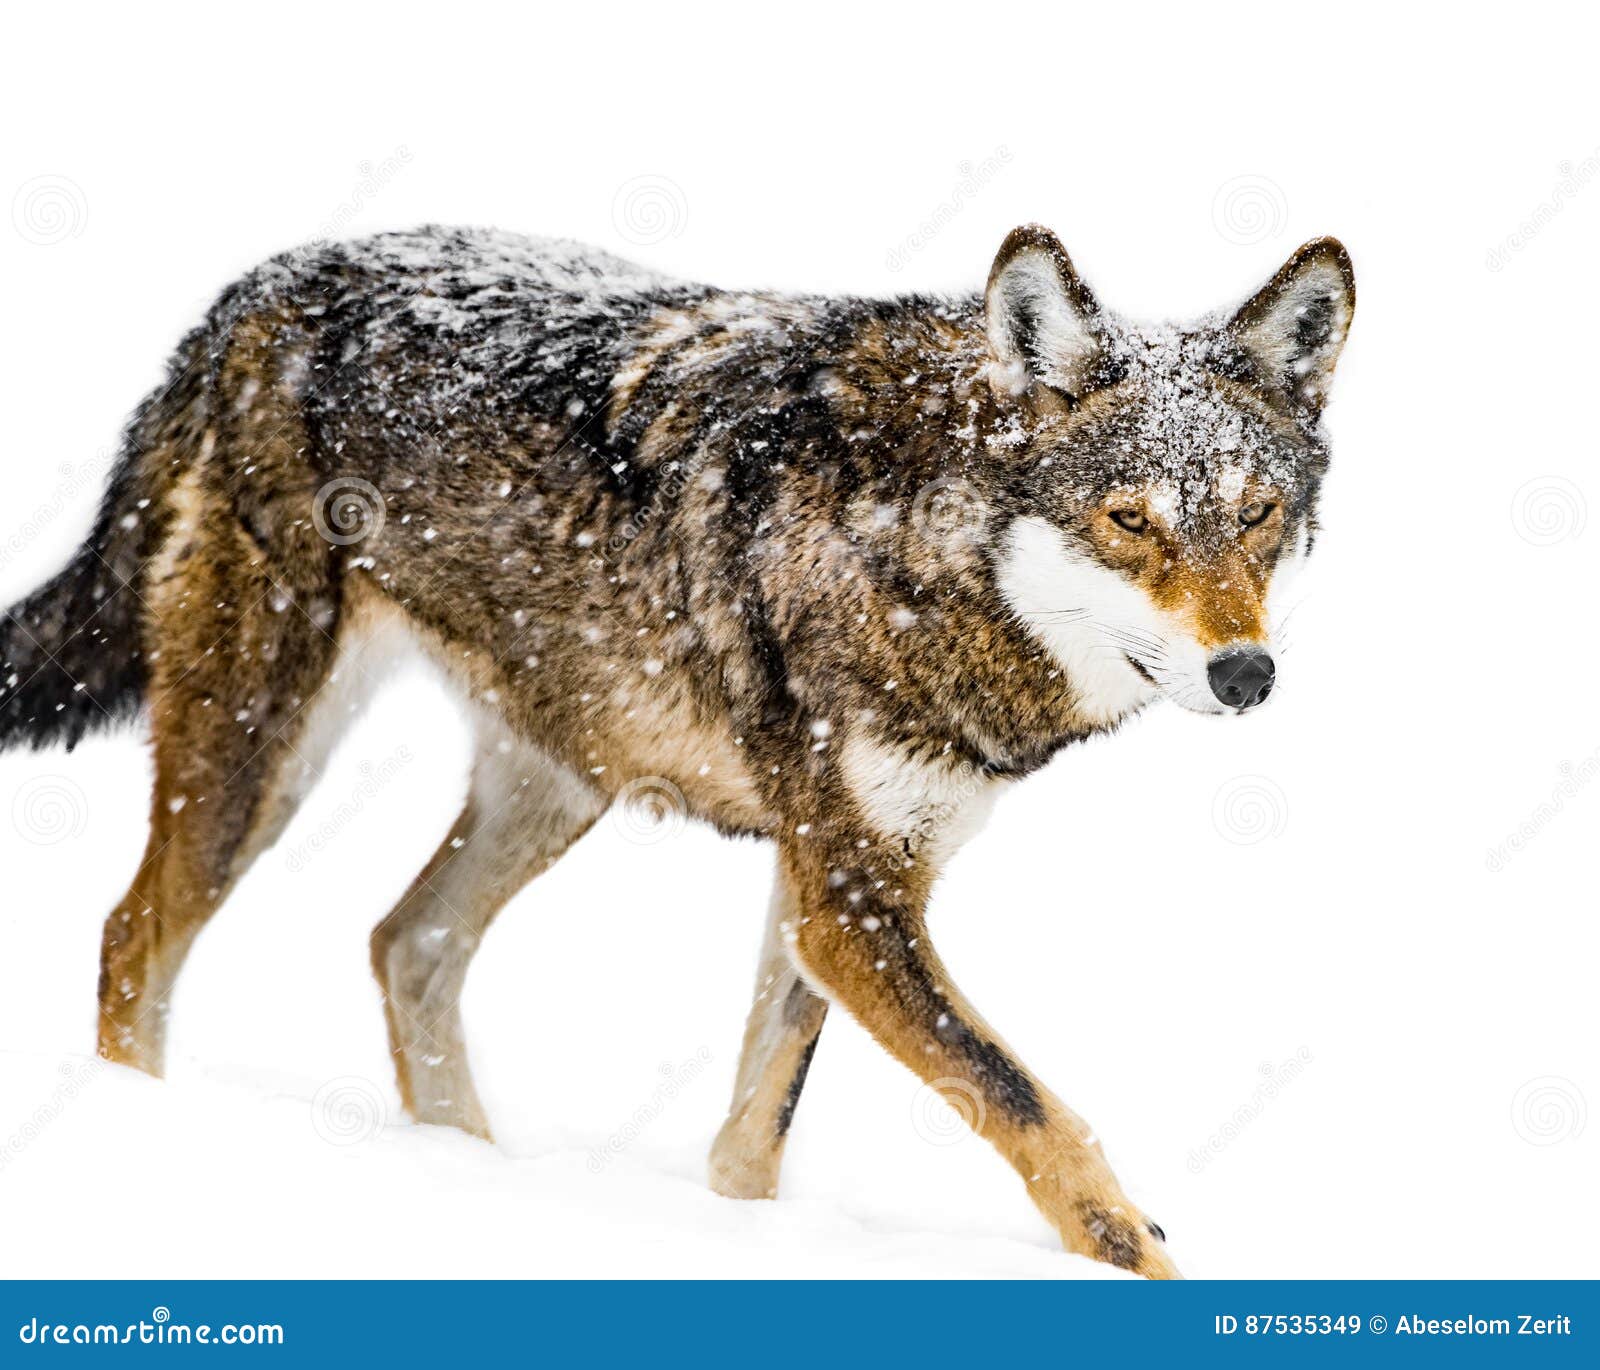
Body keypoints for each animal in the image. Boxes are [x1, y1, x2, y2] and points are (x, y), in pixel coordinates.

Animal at [0, 223, 1352, 1276]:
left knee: (405, 941)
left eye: (1255, 516)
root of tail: (250, 291)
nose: (1246, 672)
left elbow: (752, 1137)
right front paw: (1142, 1254)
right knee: (134, 937)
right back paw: (149, 1124)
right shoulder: (848, 900)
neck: (911, 544)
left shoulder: (834, 890)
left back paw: (470, 1168)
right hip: (261, 761)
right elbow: (1030, 1105)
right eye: (1130, 521)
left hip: (558, 779)